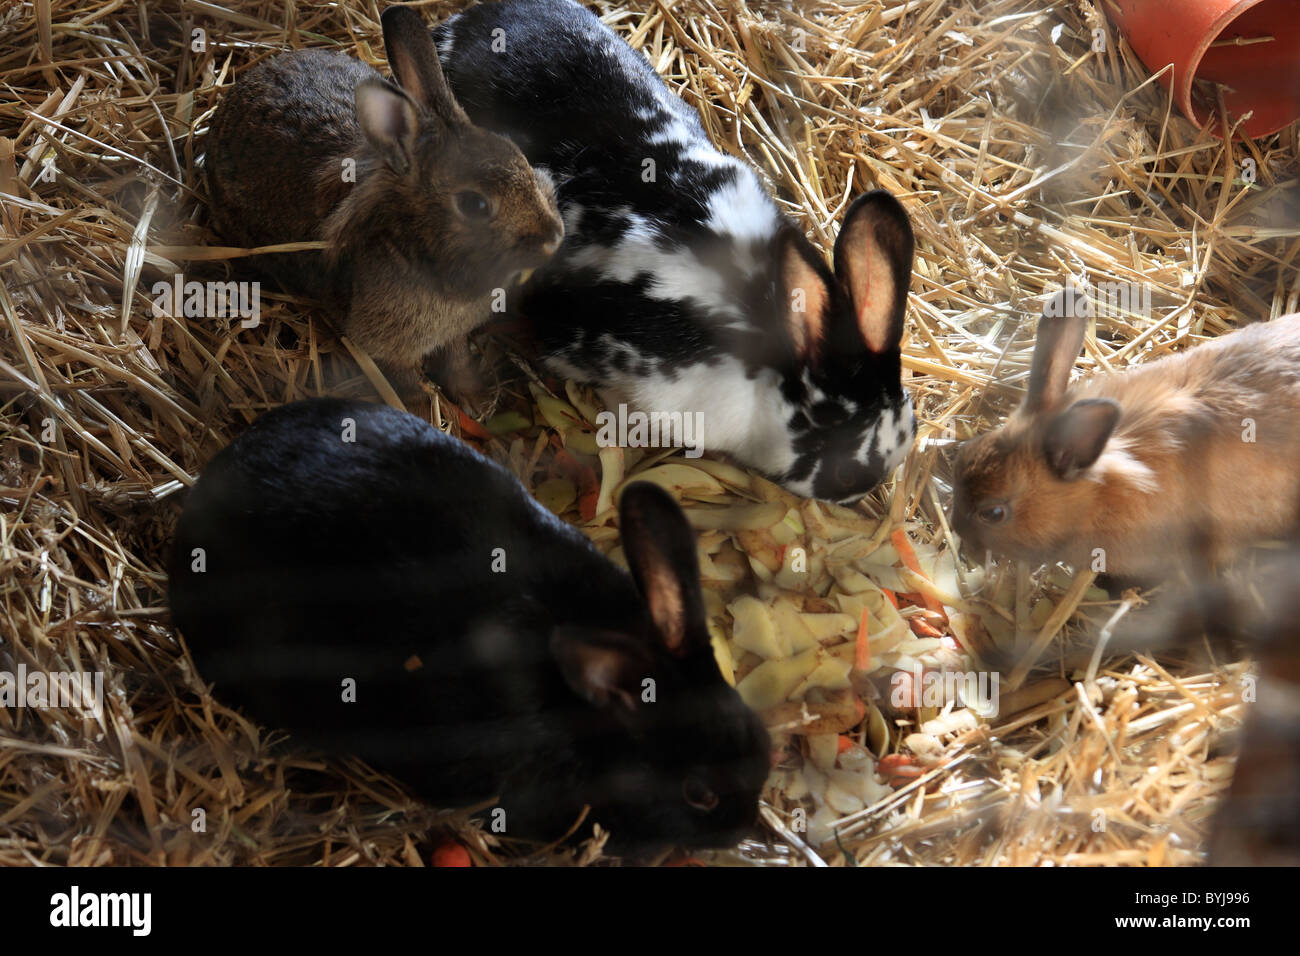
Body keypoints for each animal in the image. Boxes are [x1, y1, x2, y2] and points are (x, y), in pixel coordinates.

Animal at [203, 5, 564, 399]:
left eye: (518, 155)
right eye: (476, 205)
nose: (554, 236)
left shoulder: (452, 337)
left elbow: (456, 361)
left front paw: (471, 393)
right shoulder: (385, 351)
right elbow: (407, 383)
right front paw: (426, 403)